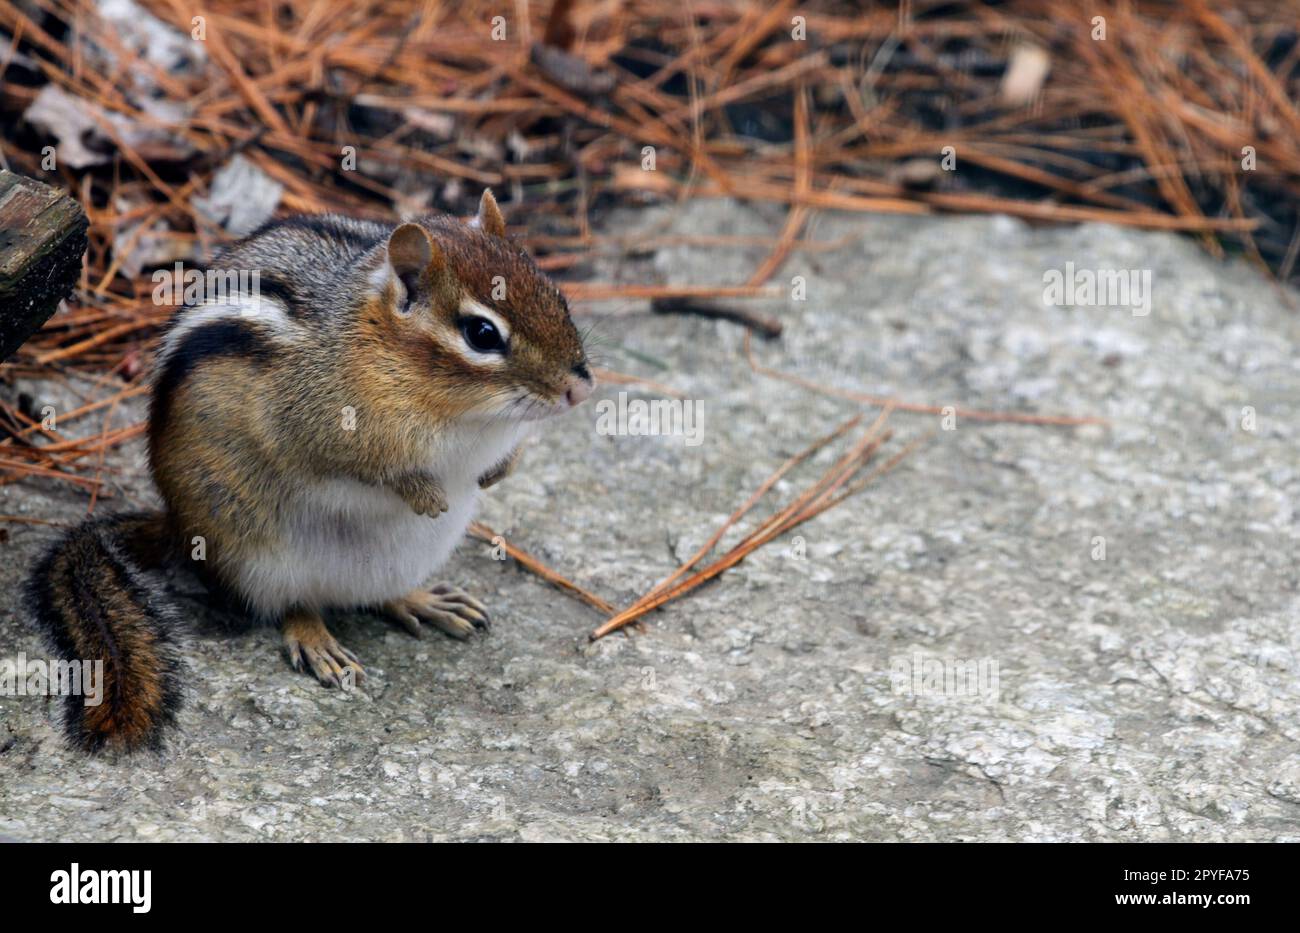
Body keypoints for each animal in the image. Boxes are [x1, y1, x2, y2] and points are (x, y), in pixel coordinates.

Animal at [24, 189, 594, 754]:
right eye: (482, 333)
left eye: (556, 295)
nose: (580, 390)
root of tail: (175, 528)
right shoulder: (309, 423)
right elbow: (359, 465)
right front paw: (422, 490)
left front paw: (500, 470)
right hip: (257, 555)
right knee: (290, 604)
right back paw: (317, 640)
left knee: (378, 595)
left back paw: (425, 599)